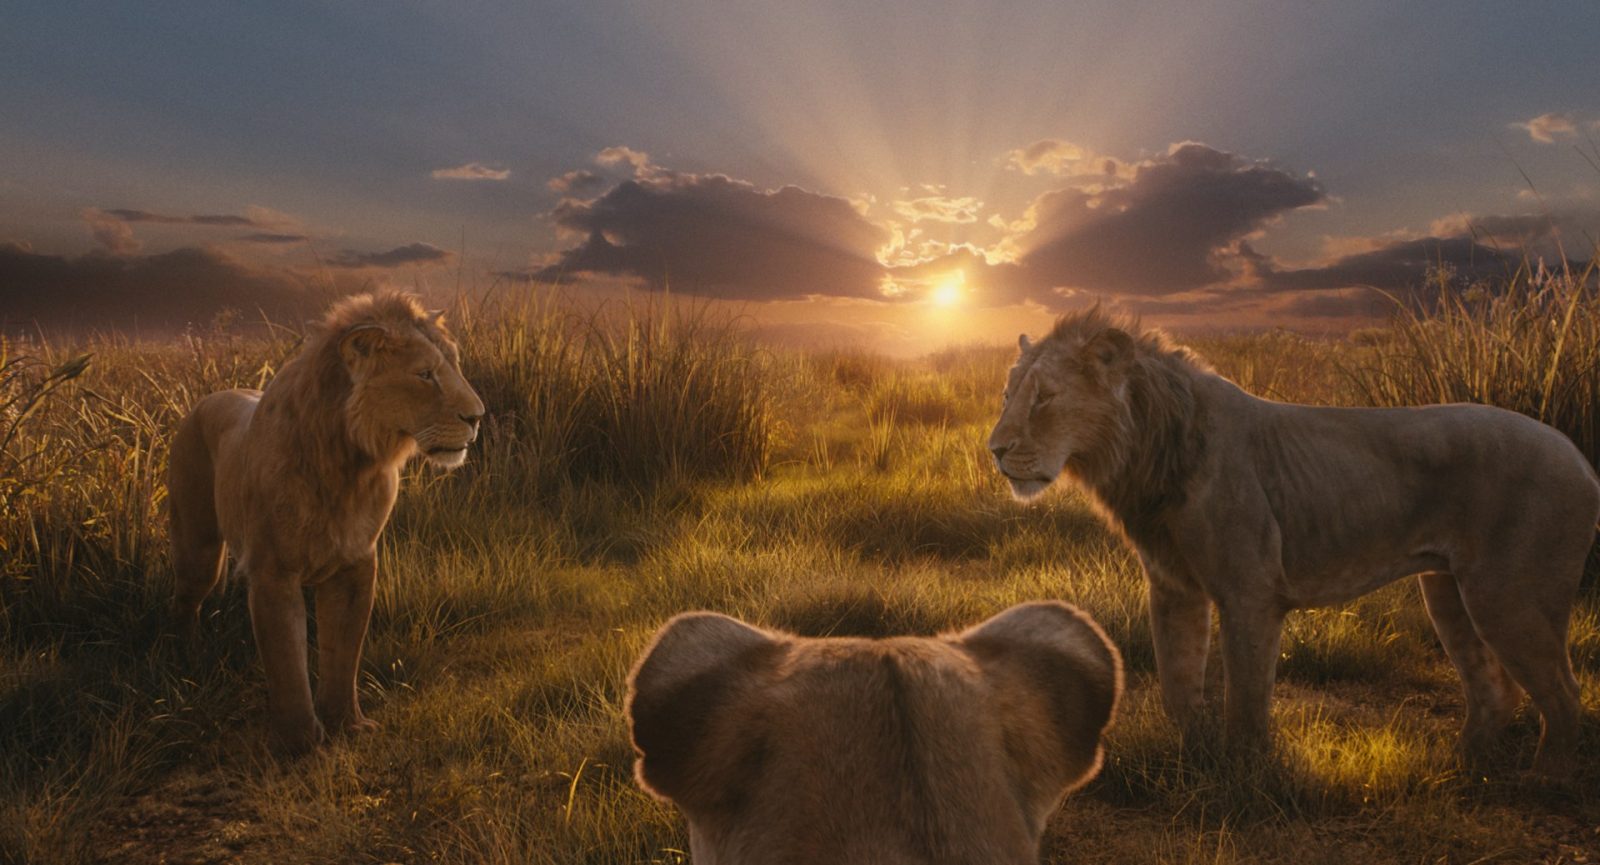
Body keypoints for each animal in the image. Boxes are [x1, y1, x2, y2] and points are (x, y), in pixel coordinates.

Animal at [167, 290, 484, 753]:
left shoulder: (356, 564)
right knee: (186, 601)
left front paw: (347, 724)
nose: (477, 417)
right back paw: (186, 662)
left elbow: (342, 653)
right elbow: (287, 661)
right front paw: (299, 742)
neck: (349, 464)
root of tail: (207, 399)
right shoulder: (273, 572)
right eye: (425, 374)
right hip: (198, 548)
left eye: (455, 366)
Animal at [988, 308, 1600, 777]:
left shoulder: (1251, 592)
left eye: (1044, 397)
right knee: (1497, 691)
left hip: (1507, 597)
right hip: (1447, 590)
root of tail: (1579, 456)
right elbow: (1177, 685)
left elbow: (1245, 699)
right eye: (1007, 393)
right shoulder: (1173, 588)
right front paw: (1195, 762)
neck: (1146, 452)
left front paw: (1243, 775)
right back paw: (1457, 769)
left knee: (1563, 694)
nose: (994, 449)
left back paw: (1542, 782)